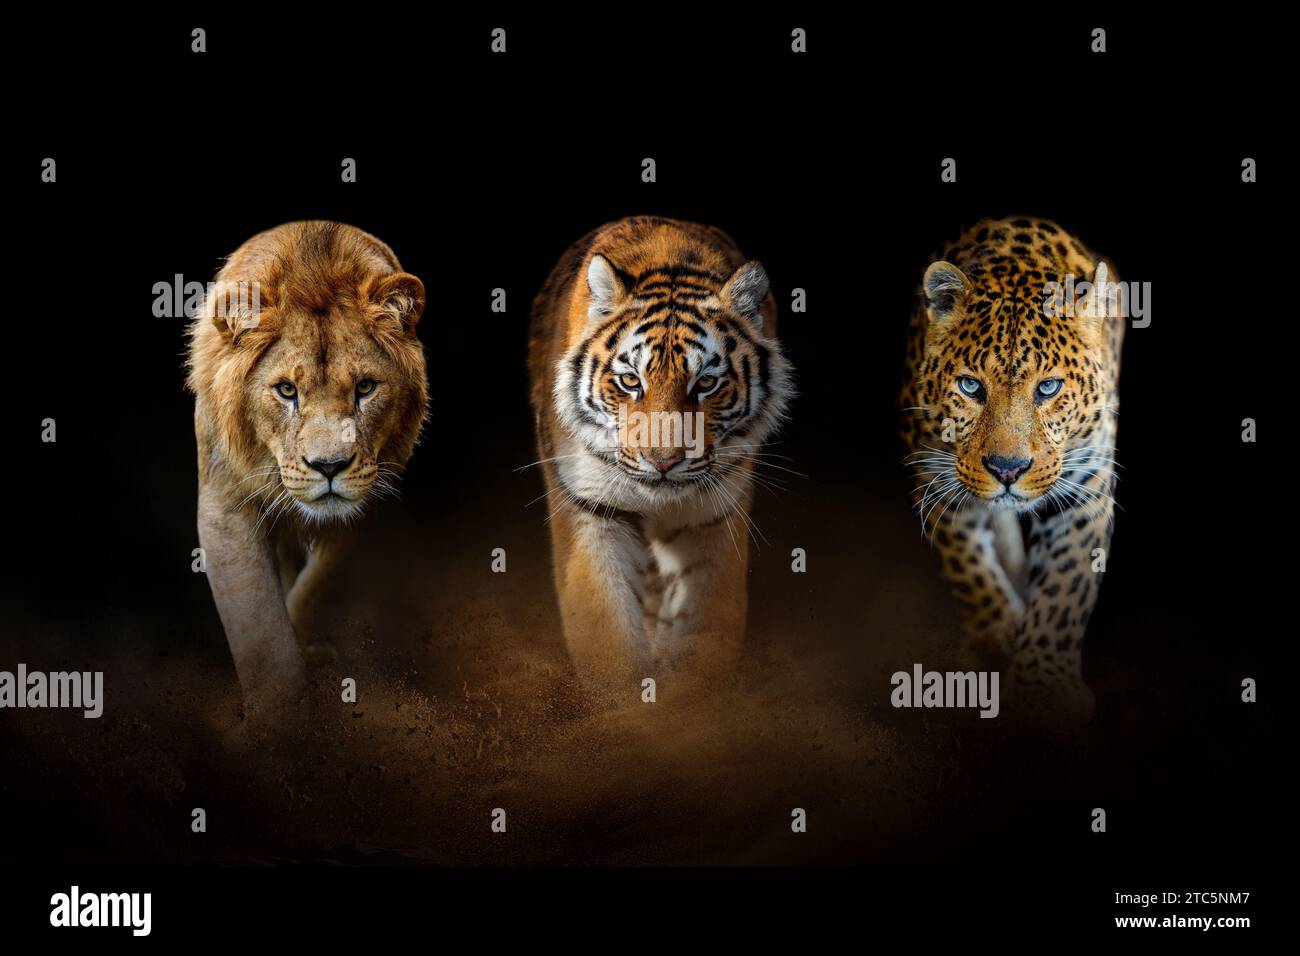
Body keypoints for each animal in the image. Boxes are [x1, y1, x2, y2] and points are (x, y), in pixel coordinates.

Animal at [186, 221, 428, 716]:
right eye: (285, 390)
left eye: (365, 388)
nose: (329, 466)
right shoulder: (225, 506)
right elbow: (261, 630)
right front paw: (282, 721)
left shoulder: (367, 498)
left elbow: (317, 581)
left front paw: (307, 646)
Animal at [528, 216, 793, 701]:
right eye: (631, 381)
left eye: (705, 383)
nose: (663, 461)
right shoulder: (592, 509)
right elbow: (607, 632)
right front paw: (626, 706)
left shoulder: (713, 514)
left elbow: (705, 624)